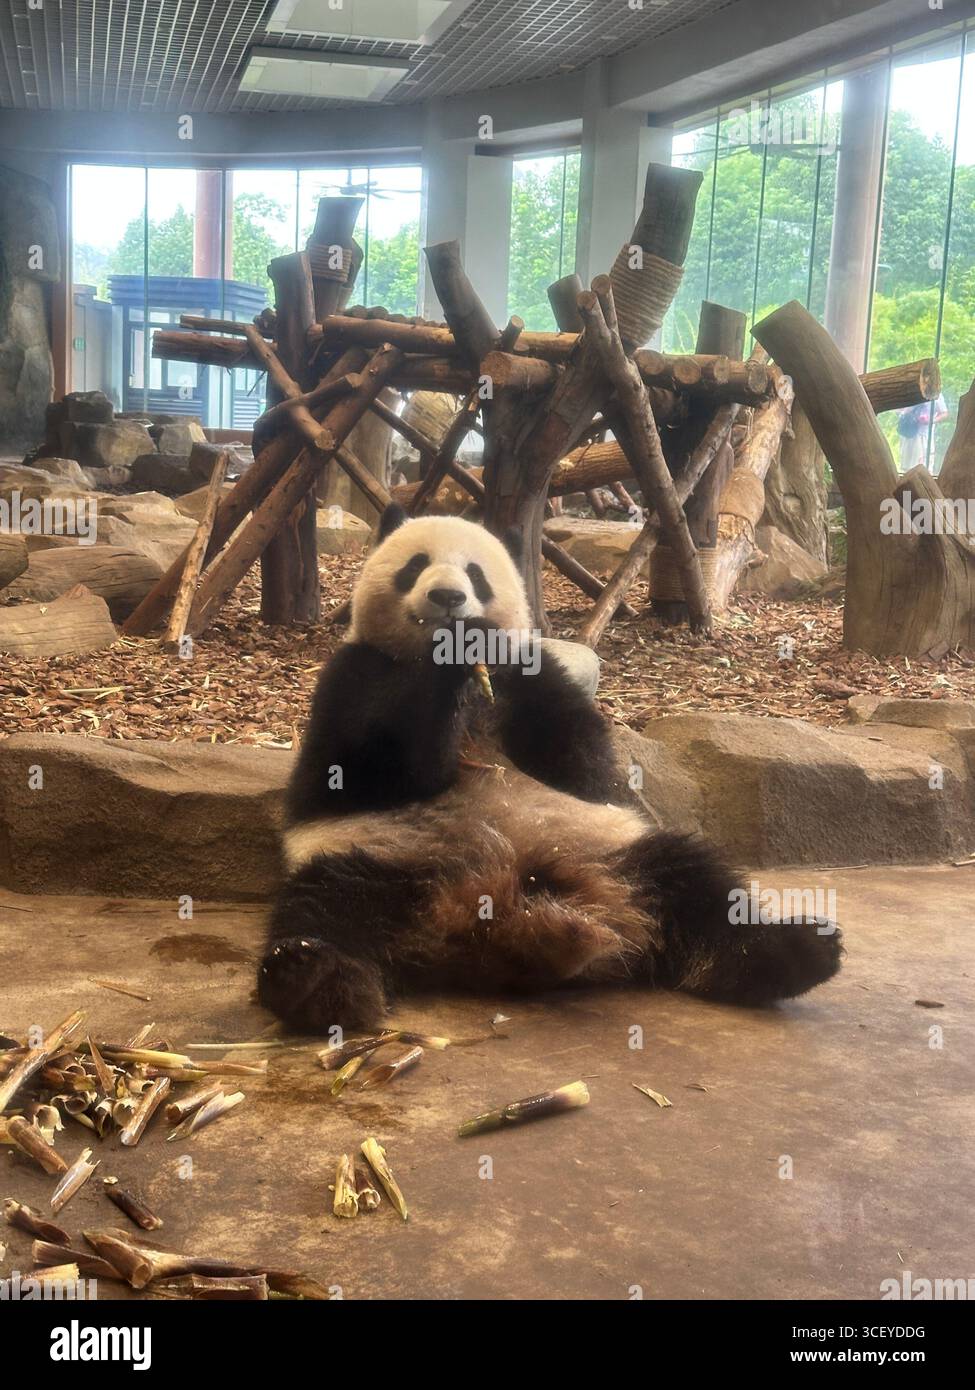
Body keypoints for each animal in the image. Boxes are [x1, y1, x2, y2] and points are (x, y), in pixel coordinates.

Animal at [258, 504, 842, 1032]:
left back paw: (794, 949)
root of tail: (493, 917)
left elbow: (583, 766)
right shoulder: (355, 674)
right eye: (415, 565)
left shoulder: (529, 675)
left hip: (608, 848)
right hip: (386, 860)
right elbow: (373, 766)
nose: (448, 598)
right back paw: (314, 980)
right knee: (327, 906)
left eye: (475, 573)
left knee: (695, 881)